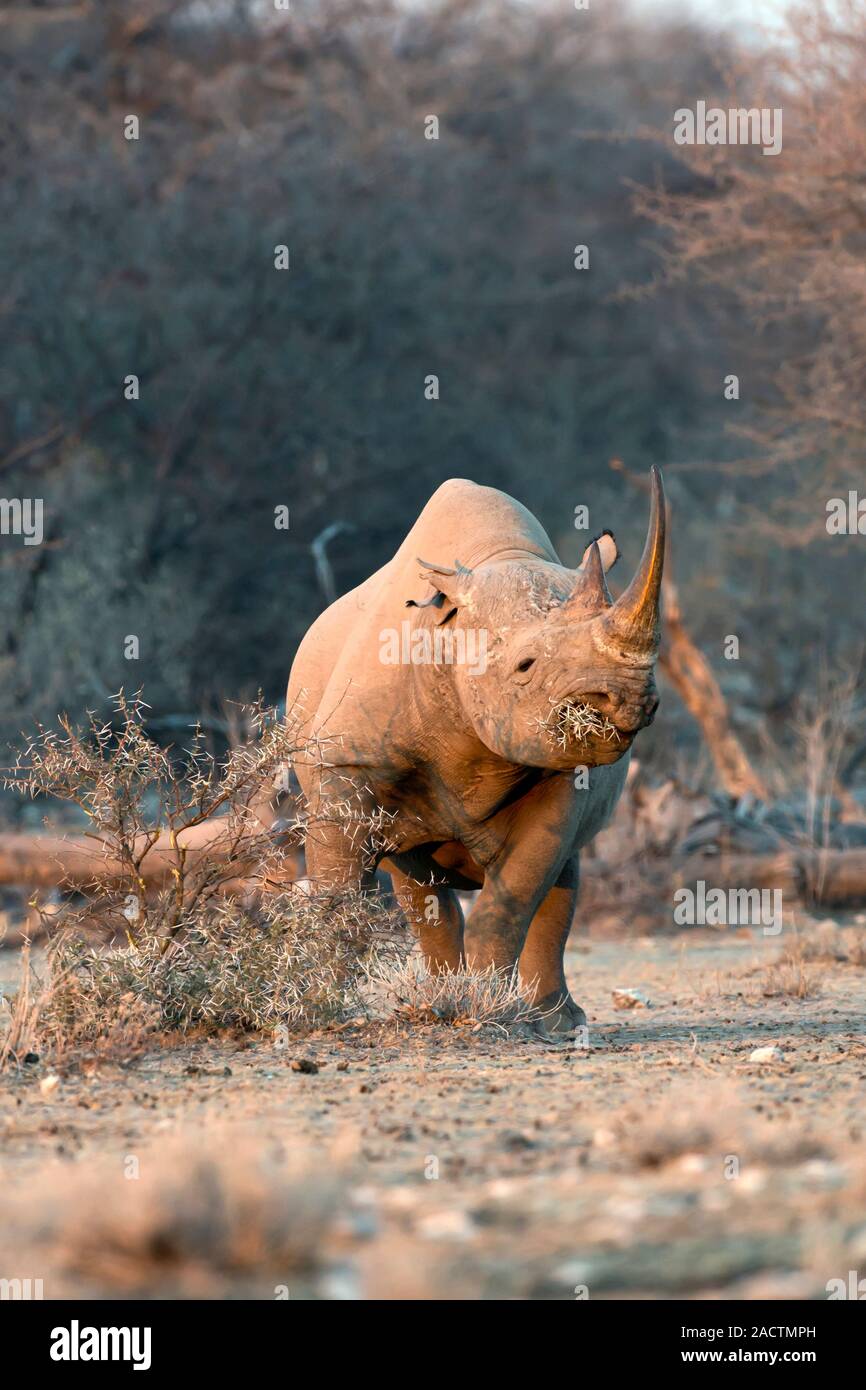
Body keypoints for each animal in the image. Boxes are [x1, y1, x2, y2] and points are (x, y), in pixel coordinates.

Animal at [287, 468, 665, 1035]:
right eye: (525, 665)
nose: (628, 699)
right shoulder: (347, 760)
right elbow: (338, 895)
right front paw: (316, 1009)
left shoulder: (562, 772)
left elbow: (513, 900)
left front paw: (494, 1012)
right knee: (417, 881)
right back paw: (442, 1002)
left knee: (560, 878)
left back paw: (557, 1021)